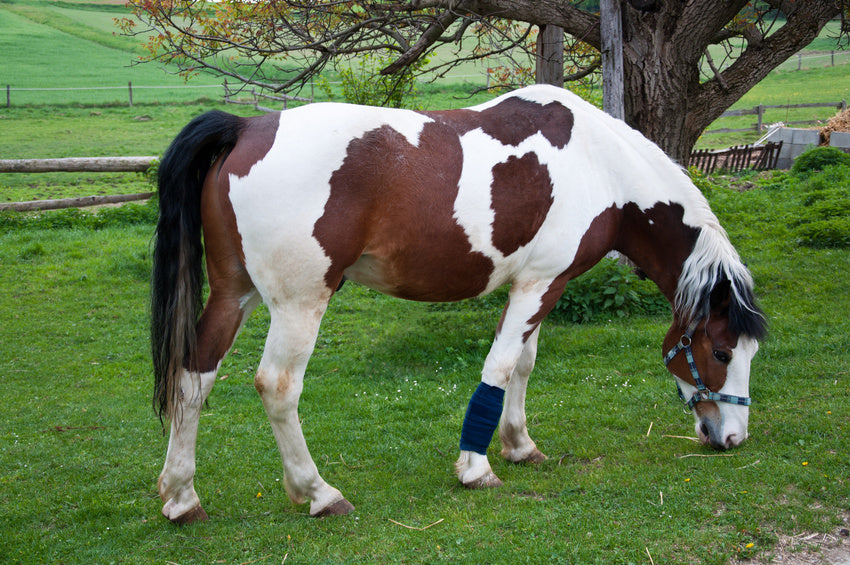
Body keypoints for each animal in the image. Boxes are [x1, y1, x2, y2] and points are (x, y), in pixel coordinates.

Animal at [151, 84, 767, 523]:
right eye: (719, 350)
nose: (732, 437)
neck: (600, 164)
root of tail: (247, 127)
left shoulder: (537, 286)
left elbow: (523, 365)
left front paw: (519, 445)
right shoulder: (541, 284)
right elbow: (500, 366)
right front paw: (476, 467)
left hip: (234, 294)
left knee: (194, 375)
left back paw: (181, 498)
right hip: (299, 305)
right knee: (277, 386)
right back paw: (319, 493)